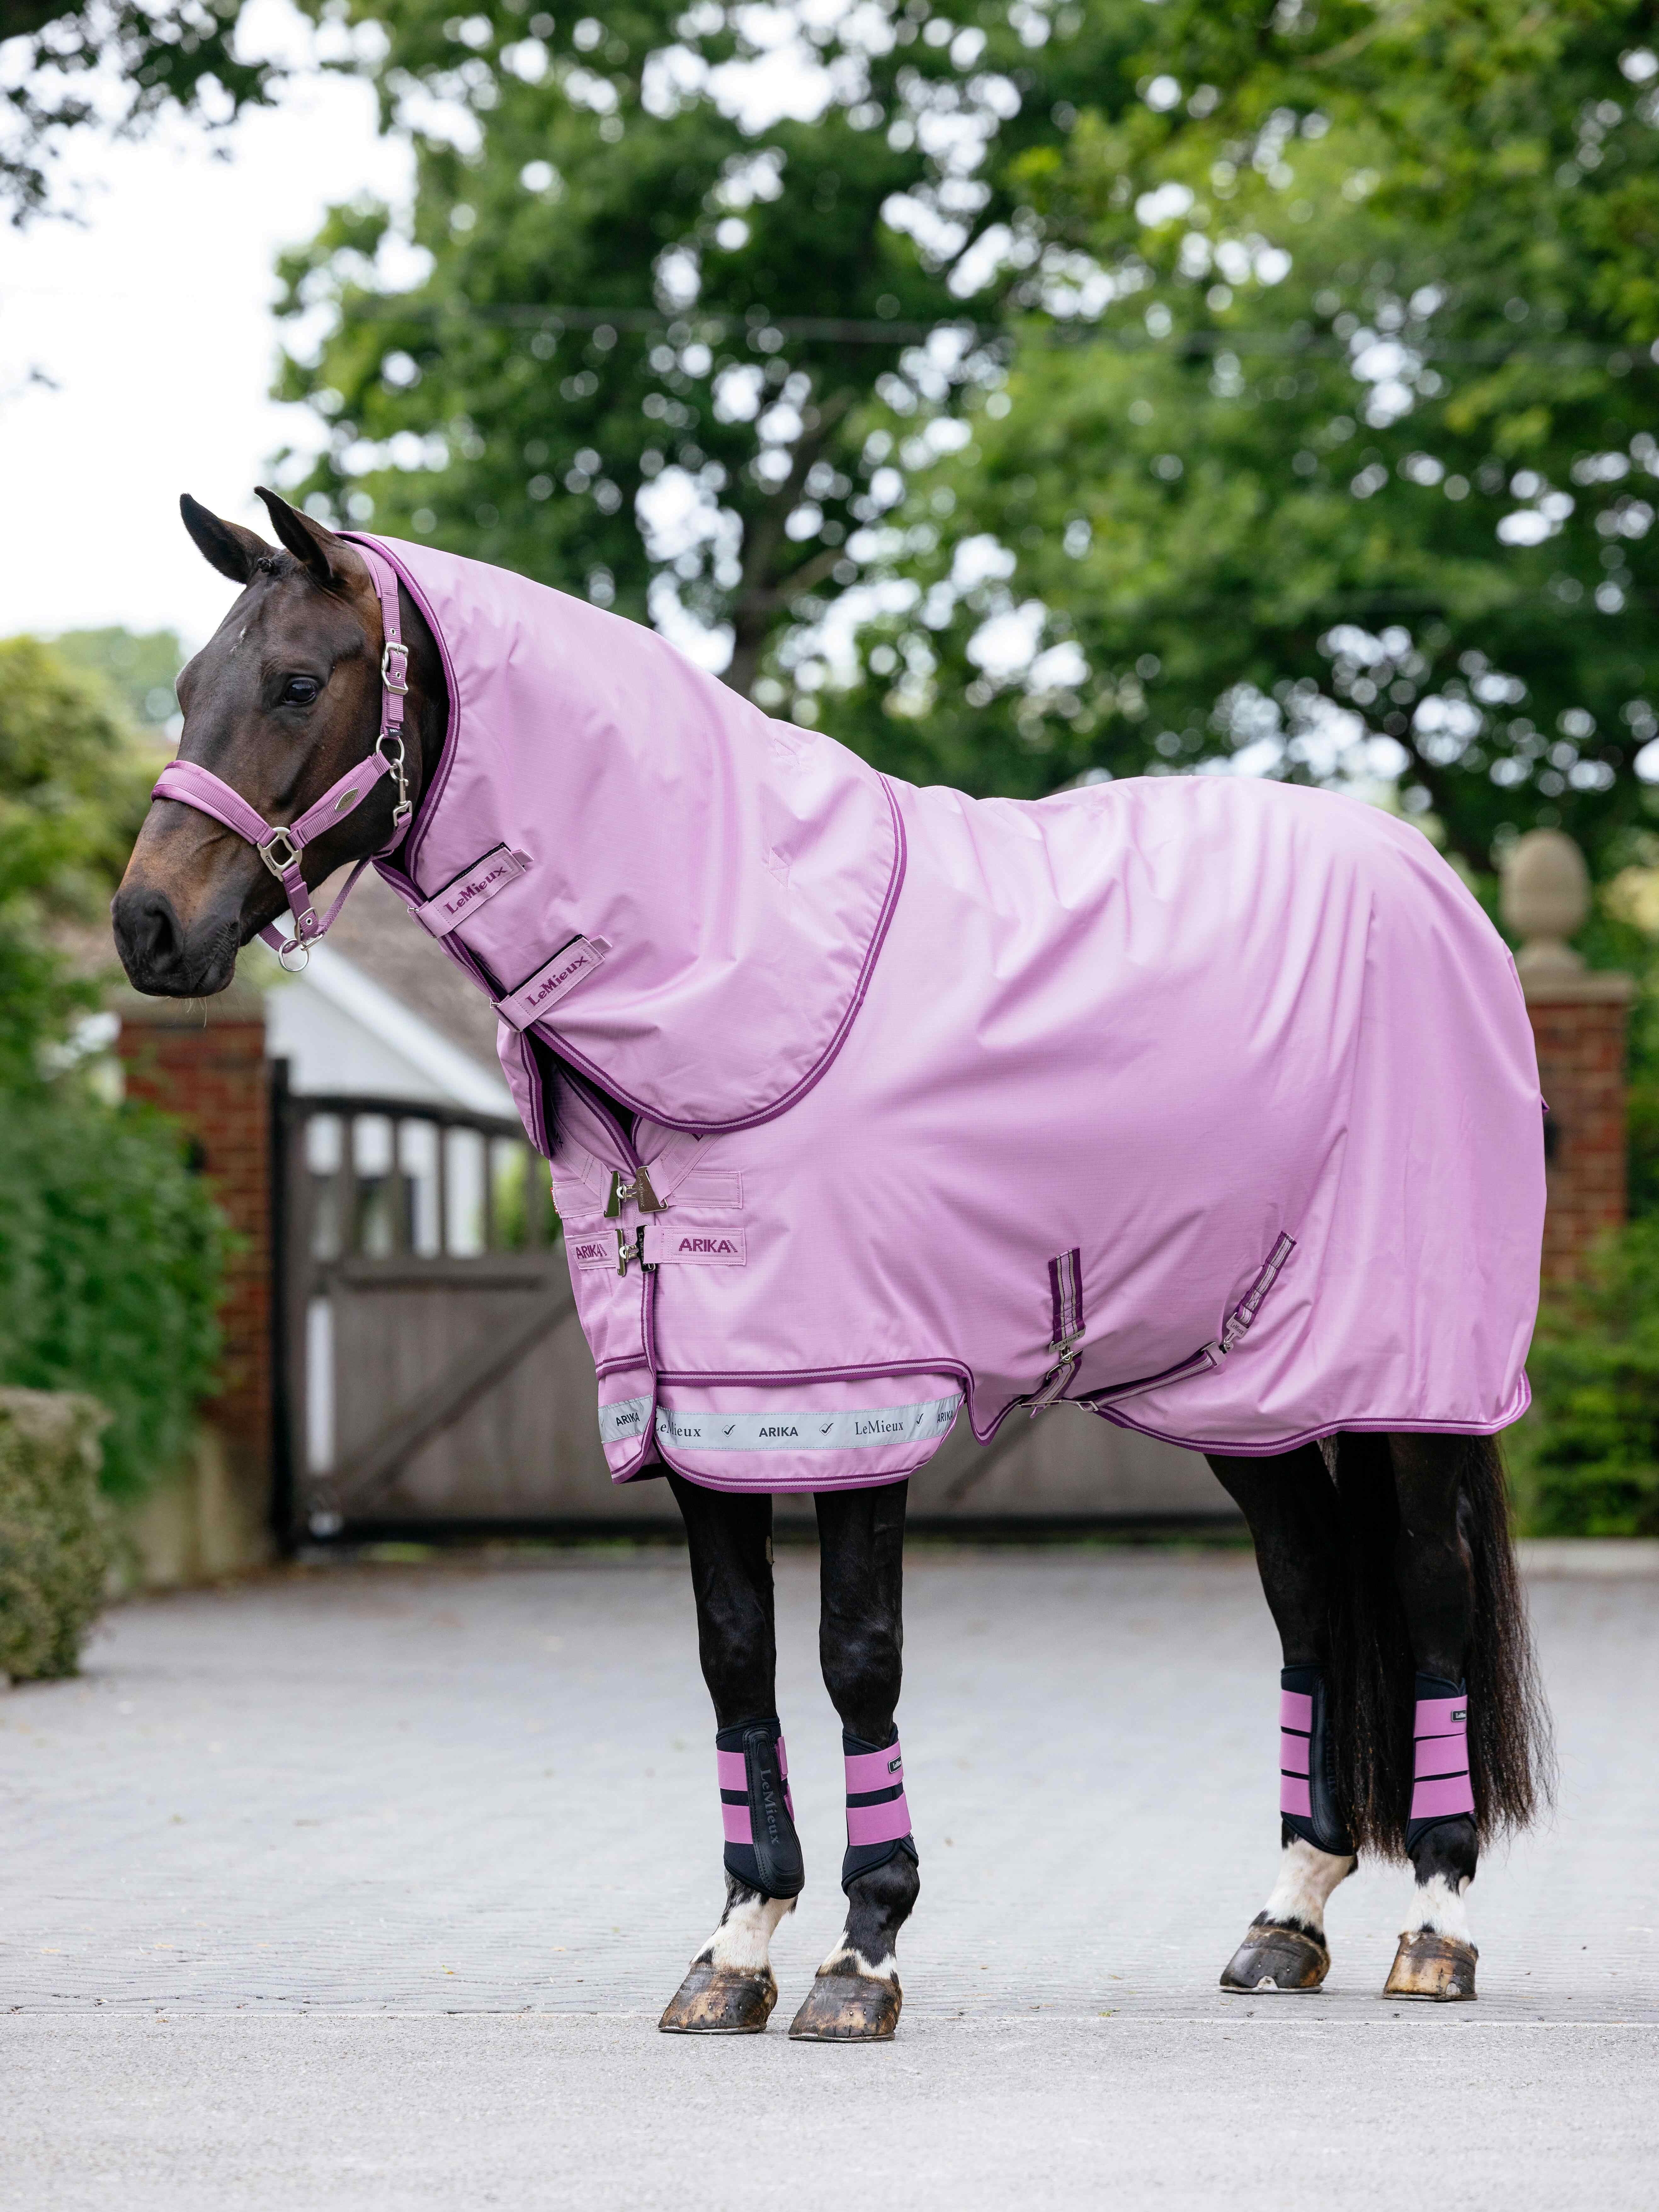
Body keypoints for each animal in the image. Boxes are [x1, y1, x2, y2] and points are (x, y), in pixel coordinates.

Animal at [114, 488, 1552, 2039]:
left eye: (296, 683)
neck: (736, 958)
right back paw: (1287, 1914)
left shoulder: (863, 1386)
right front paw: (736, 1944)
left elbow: (857, 1655)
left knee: (1427, 1596)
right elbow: (734, 1652)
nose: (149, 925)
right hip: (1244, 1388)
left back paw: (1437, 1923)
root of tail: (1434, 884)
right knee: (1310, 1601)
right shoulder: (696, 1406)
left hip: (1412, 1377)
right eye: (187, 685)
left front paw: (863, 1951)